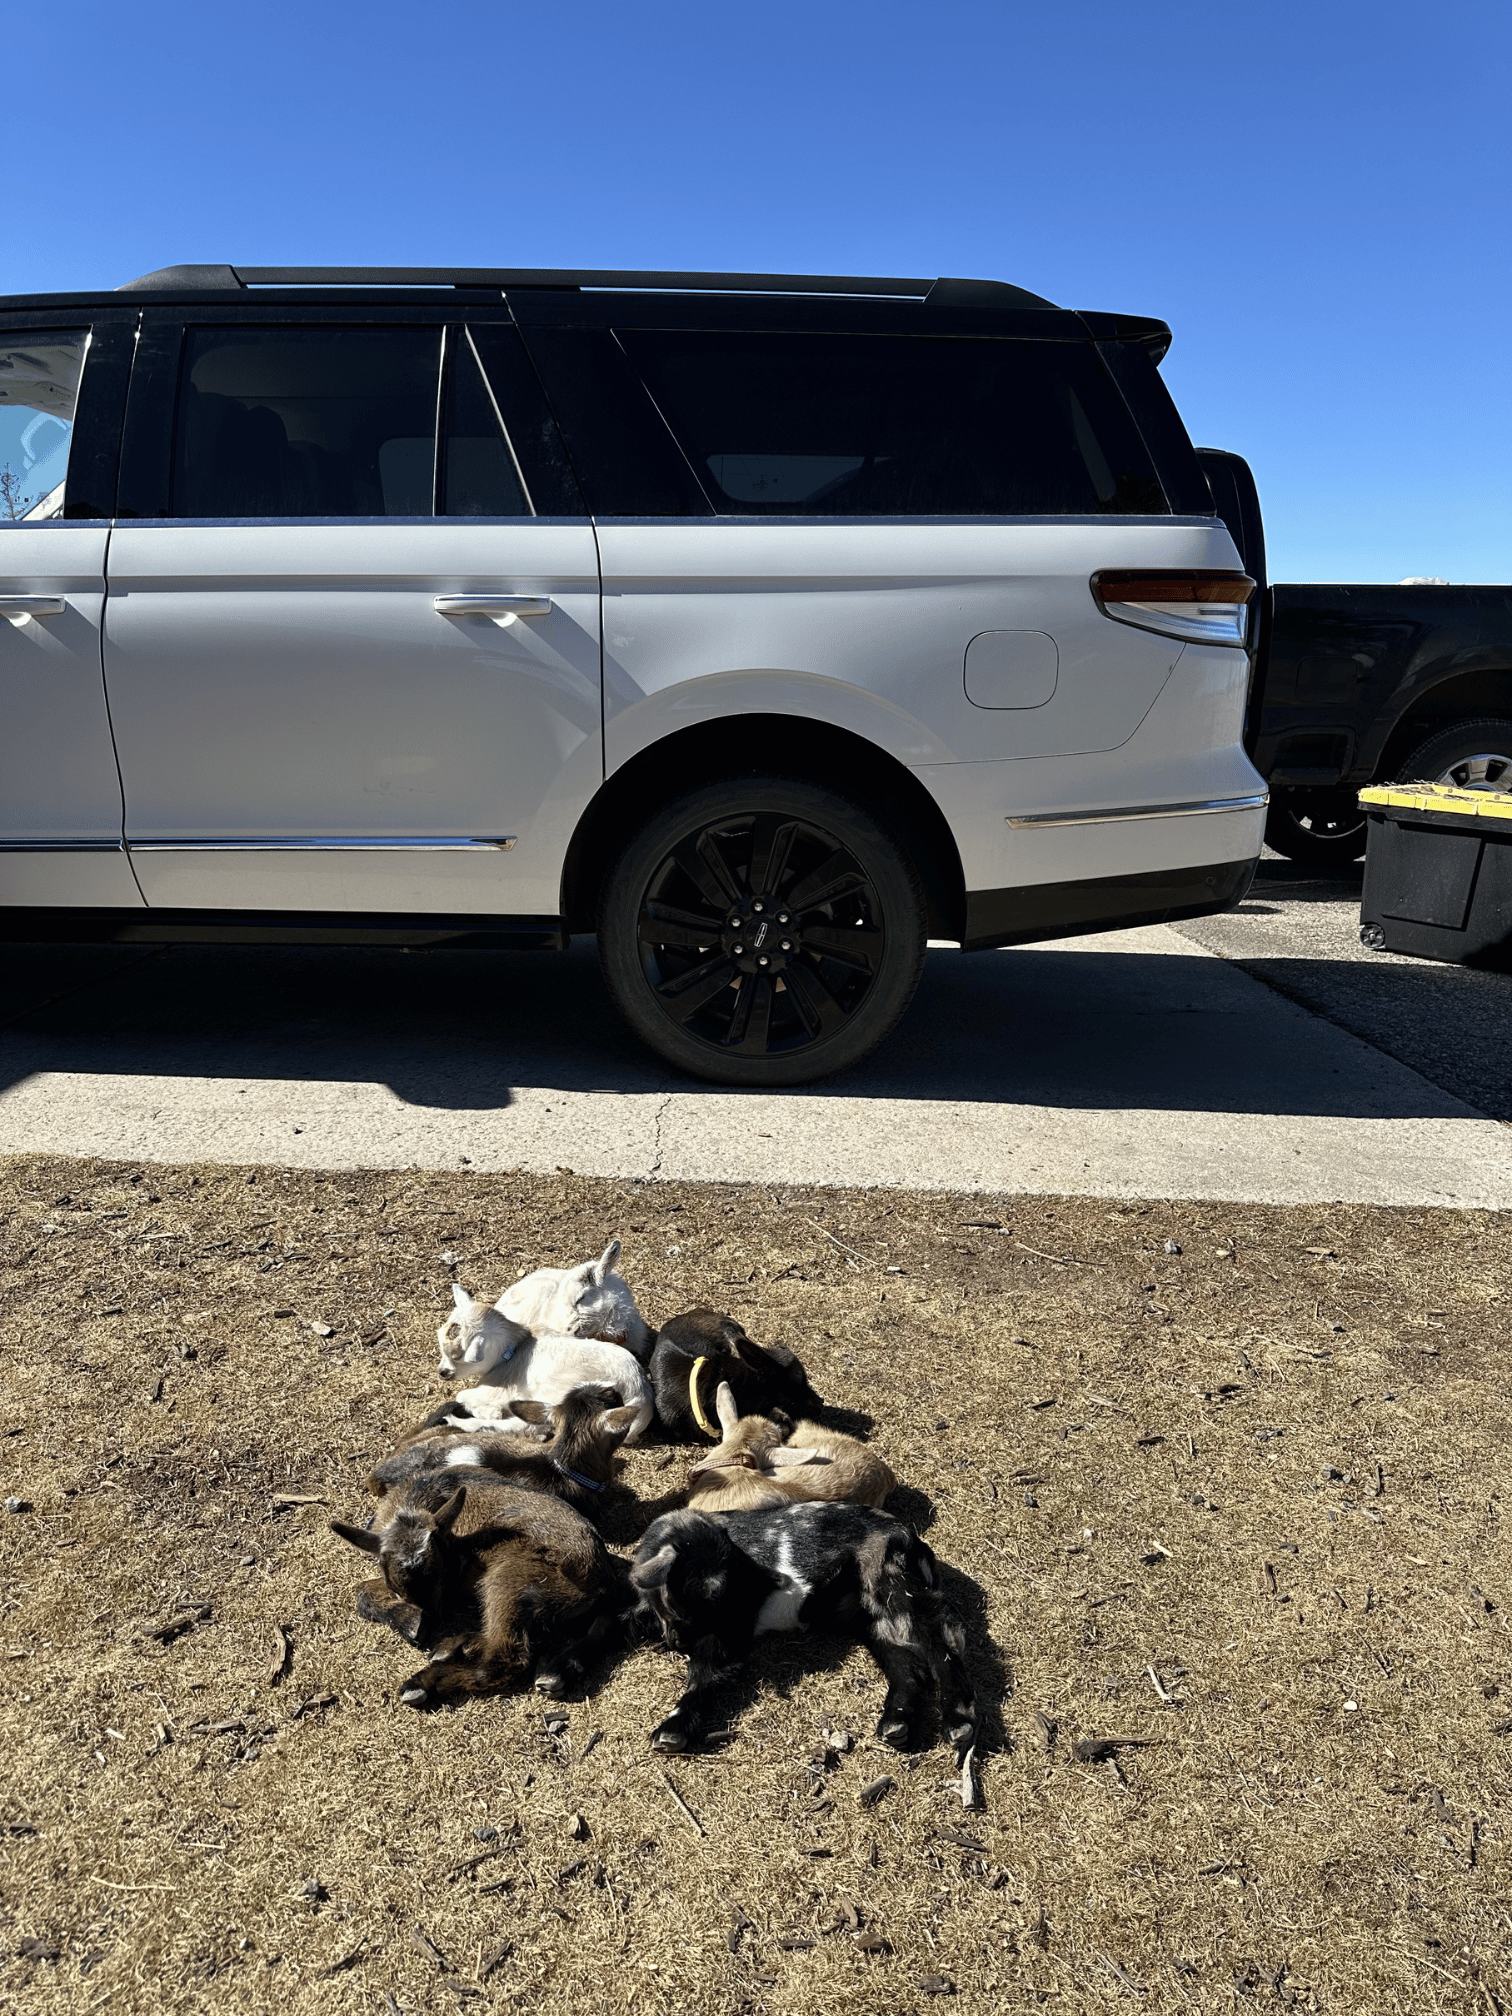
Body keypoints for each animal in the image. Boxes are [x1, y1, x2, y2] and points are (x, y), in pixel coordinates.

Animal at [331, 1473, 622, 1704]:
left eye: (440, 1572)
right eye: (396, 1586)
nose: (432, 1619)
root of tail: (600, 1584)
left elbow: (361, 1591)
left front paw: (412, 1624)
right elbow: (363, 1590)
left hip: (510, 1575)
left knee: (507, 1656)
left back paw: (423, 1683)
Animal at [435, 1285, 654, 1442]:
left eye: (457, 1355)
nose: (442, 1372)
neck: (514, 1348)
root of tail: (640, 1392)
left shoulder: (501, 1388)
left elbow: (462, 1395)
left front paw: (491, 1412)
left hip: (559, 1391)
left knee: (529, 1424)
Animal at [629, 1502, 978, 1760]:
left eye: (722, 1587)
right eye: (711, 1587)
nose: (782, 1581)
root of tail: (910, 1538)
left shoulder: (729, 1632)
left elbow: (703, 1672)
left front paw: (672, 1730)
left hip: (895, 1589)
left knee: (942, 1645)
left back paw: (958, 1722)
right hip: (873, 1618)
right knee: (906, 1664)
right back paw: (897, 1723)